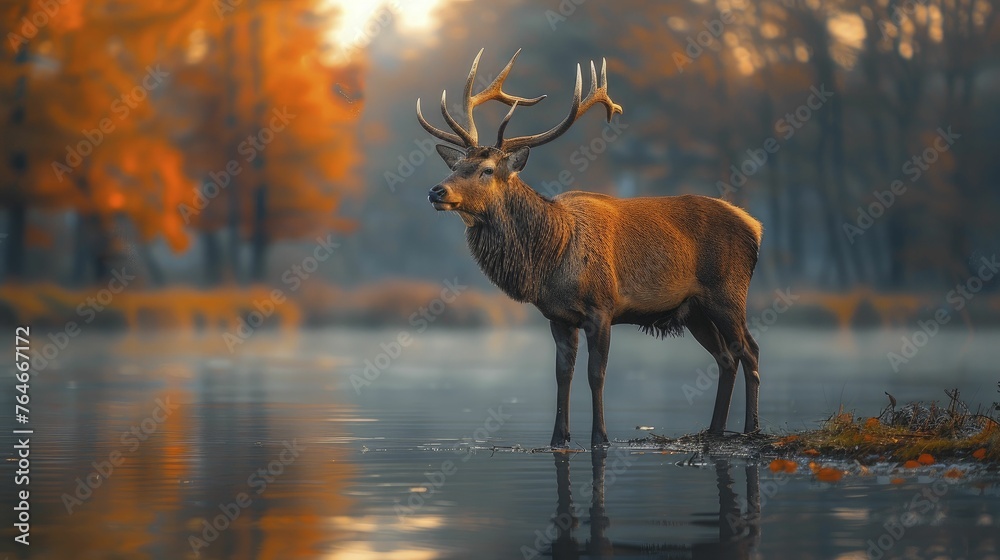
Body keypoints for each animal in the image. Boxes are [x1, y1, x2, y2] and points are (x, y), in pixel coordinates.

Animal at [417, 49, 763, 448]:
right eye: (457, 163)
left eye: (487, 169)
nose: (436, 191)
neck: (551, 257)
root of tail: (755, 227)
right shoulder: (557, 316)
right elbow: (562, 374)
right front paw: (558, 437)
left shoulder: (603, 307)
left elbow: (596, 374)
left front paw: (600, 436)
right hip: (694, 310)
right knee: (726, 358)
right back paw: (716, 430)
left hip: (728, 293)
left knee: (749, 351)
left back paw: (752, 429)